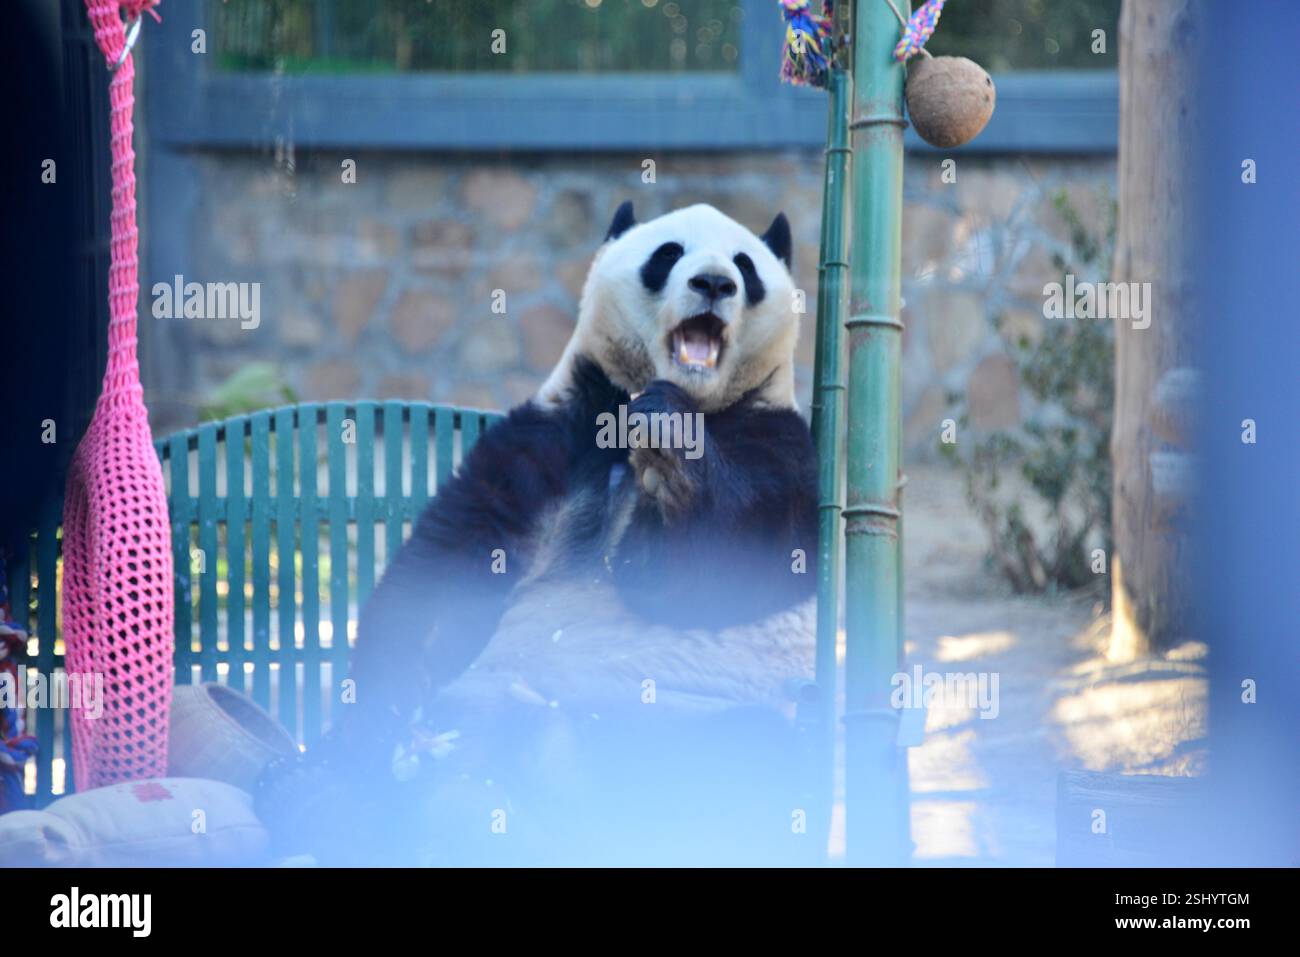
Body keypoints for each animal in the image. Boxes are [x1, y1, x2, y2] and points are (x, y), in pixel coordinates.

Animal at [261, 203, 822, 866]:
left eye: (744, 267)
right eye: (668, 254)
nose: (713, 283)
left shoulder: (781, 446)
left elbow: (724, 566)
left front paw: (670, 452)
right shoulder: (550, 440)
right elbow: (445, 570)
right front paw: (376, 713)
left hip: (683, 725)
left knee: (735, 760)